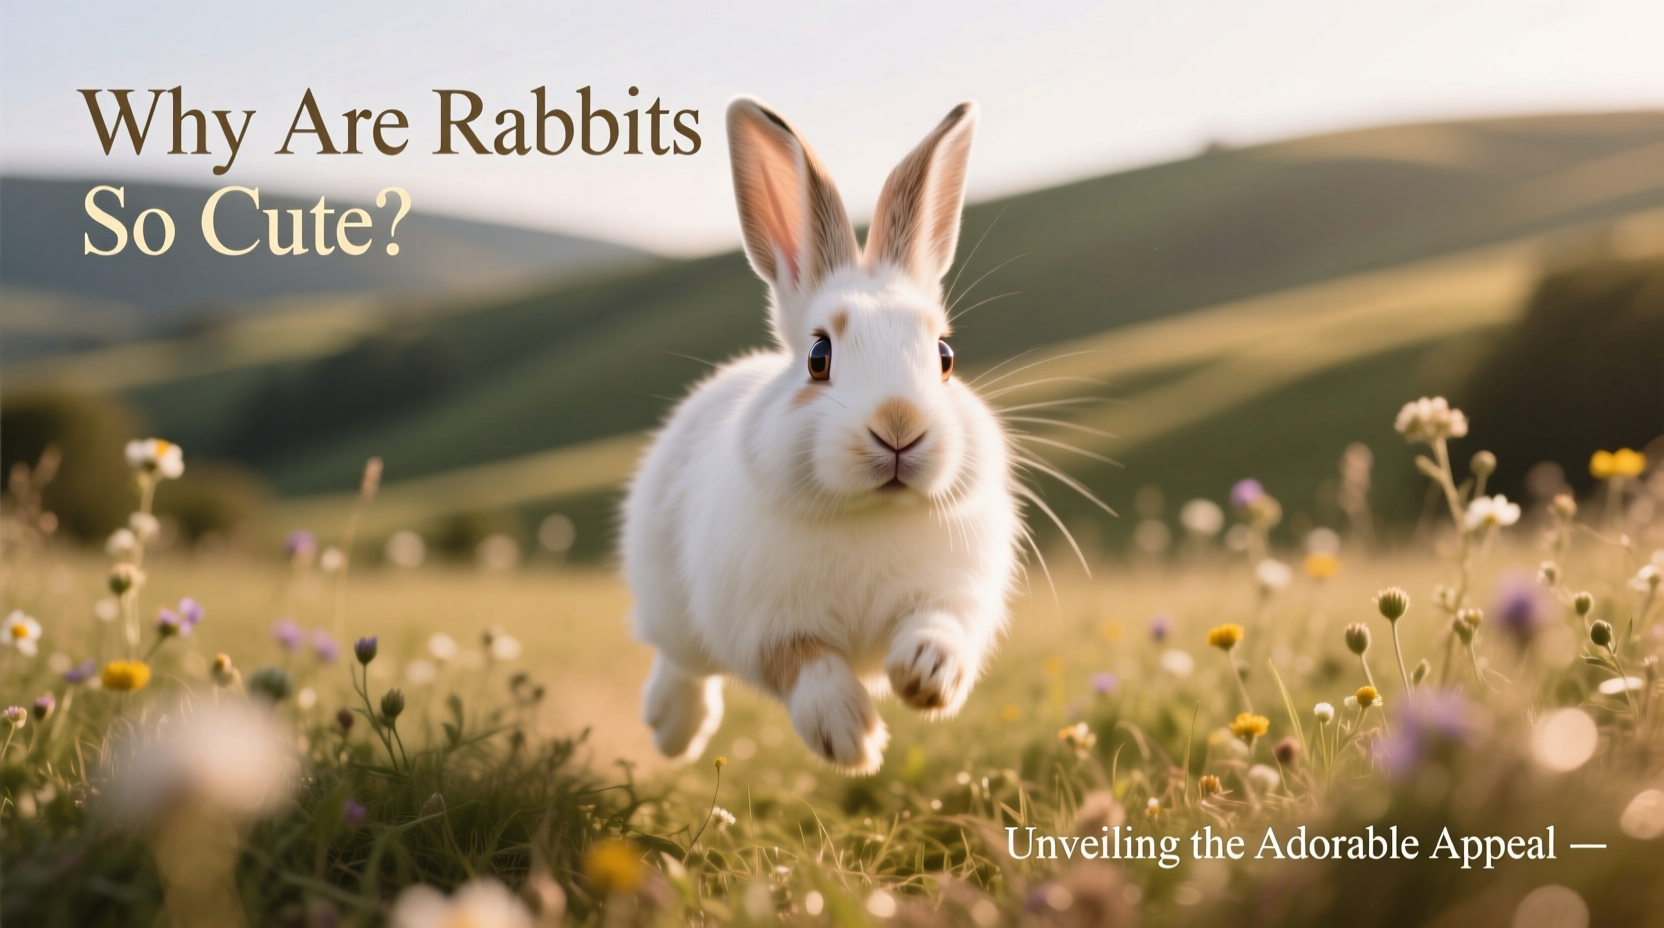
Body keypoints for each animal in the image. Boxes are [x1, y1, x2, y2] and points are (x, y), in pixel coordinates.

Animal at [620, 96, 1021, 775]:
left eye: (945, 357)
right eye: (818, 356)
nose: (898, 426)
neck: (869, 513)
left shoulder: (957, 594)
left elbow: (940, 628)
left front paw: (925, 677)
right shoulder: (765, 625)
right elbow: (808, 668)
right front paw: (851, 739)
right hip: (670, 601)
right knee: (684, 662)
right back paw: (672, 729)